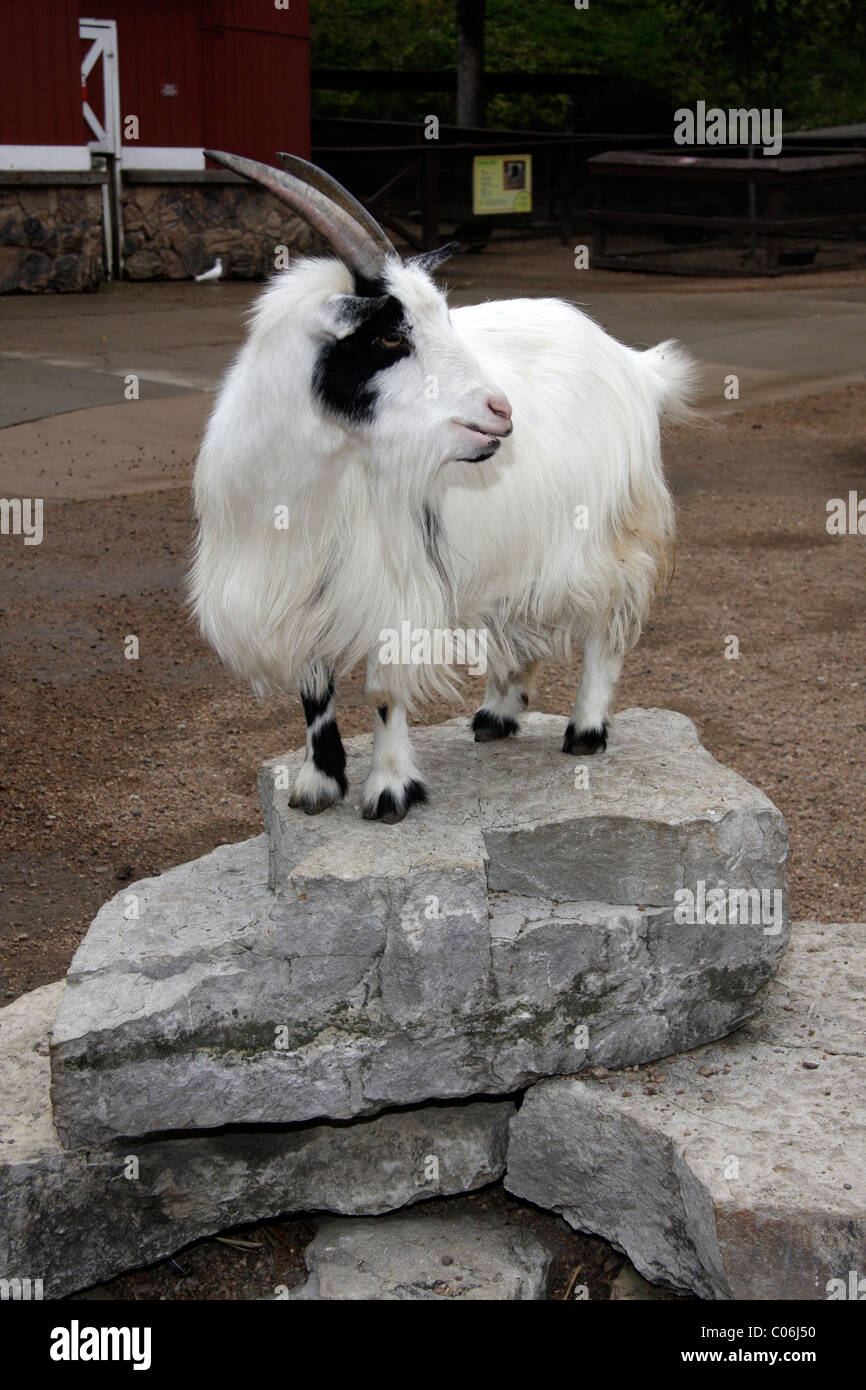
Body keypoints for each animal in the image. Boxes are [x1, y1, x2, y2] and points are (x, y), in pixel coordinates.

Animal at [191, 151, 696, 824]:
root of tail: (633, 363)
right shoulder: (296, 587)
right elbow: (314, 687)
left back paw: (586, 730)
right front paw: (317, 783)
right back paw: (497, 714)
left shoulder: (394, 586)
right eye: (389, 335)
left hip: (605, 526)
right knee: (520, 620)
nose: (501, 411)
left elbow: (383, 689)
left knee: (606, 617)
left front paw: (389, 790)